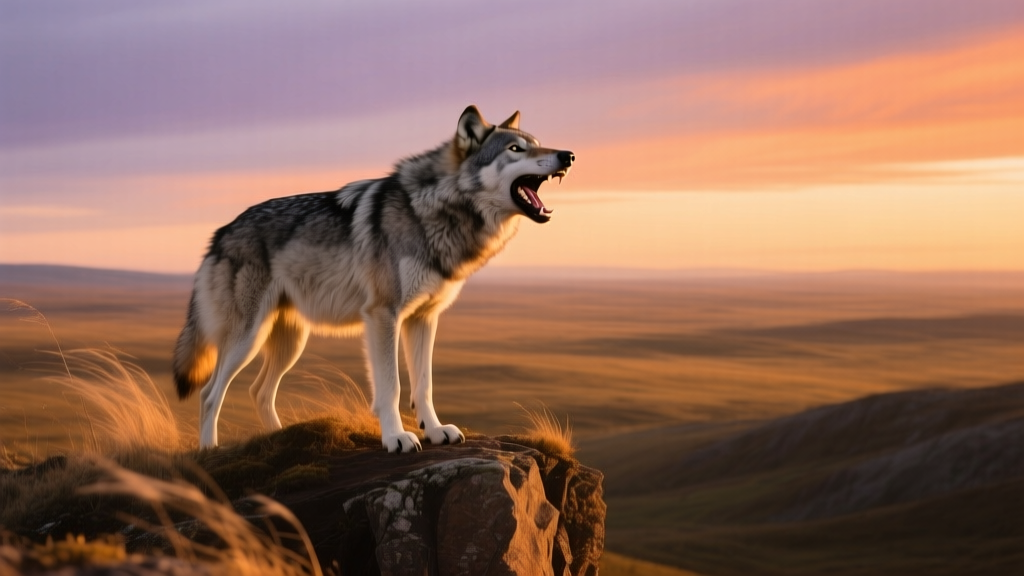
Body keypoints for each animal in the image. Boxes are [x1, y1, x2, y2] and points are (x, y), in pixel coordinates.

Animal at [172, 106, 574, 452]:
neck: (433, 210)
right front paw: (396, 438)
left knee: (259, 392)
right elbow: (391, 387)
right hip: (247, 338)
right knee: (210, 393)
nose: (568, 155)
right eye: (515, 149)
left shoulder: (423, 318)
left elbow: (423, 385)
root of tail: (219, 234)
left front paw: (435, 430)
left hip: (291, 341)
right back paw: (209, 451)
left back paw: (277, 439)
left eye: (536, 143)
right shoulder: (384, 314)